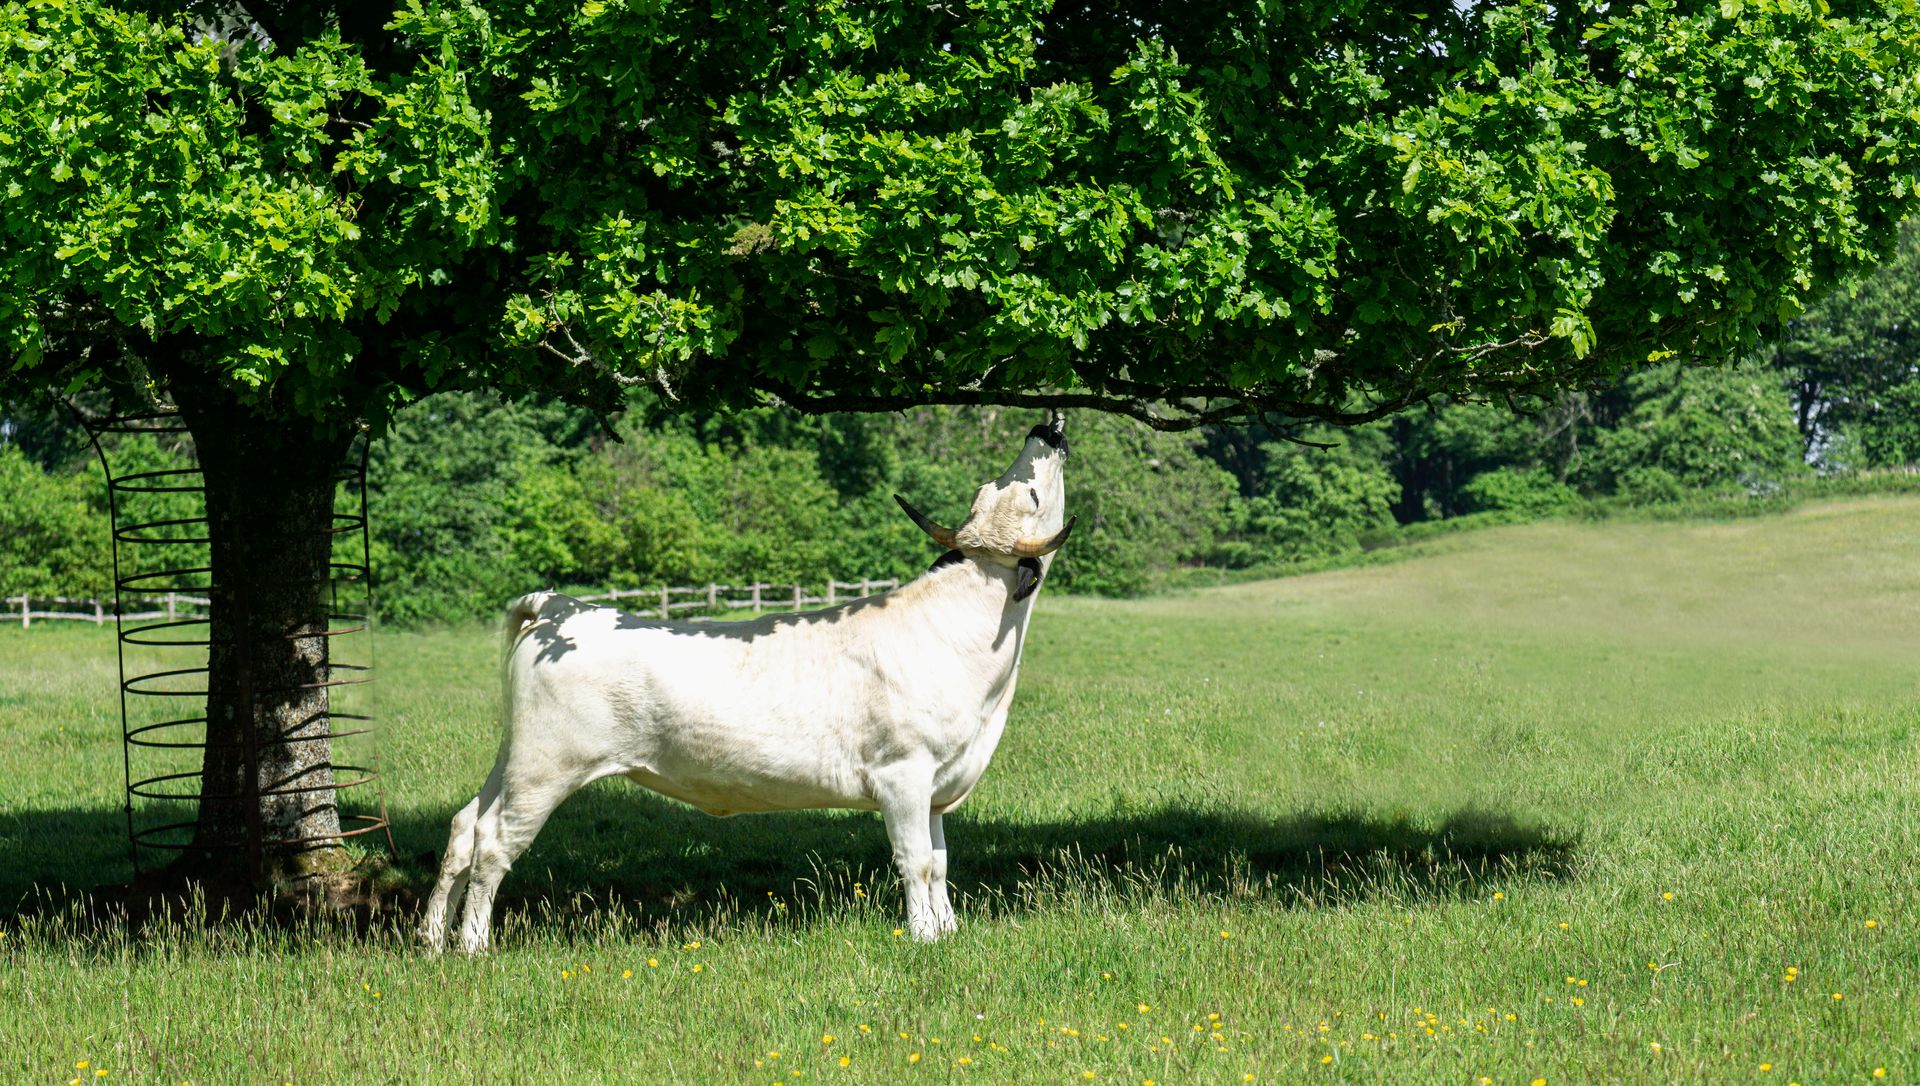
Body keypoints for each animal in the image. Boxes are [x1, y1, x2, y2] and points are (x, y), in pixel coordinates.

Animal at [420, 415, 1074, 952]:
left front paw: (946, 931)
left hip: (515, 754)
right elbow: (914, 861)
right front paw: (920, 939)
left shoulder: (940, 781)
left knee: (462, 827)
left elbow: (940, 862)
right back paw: (473, 946)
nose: (1047, 425)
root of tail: (562, 605)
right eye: (1029, 492)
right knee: (493, 841)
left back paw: (431, 940)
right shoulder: (903, 772)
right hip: (546, 763)